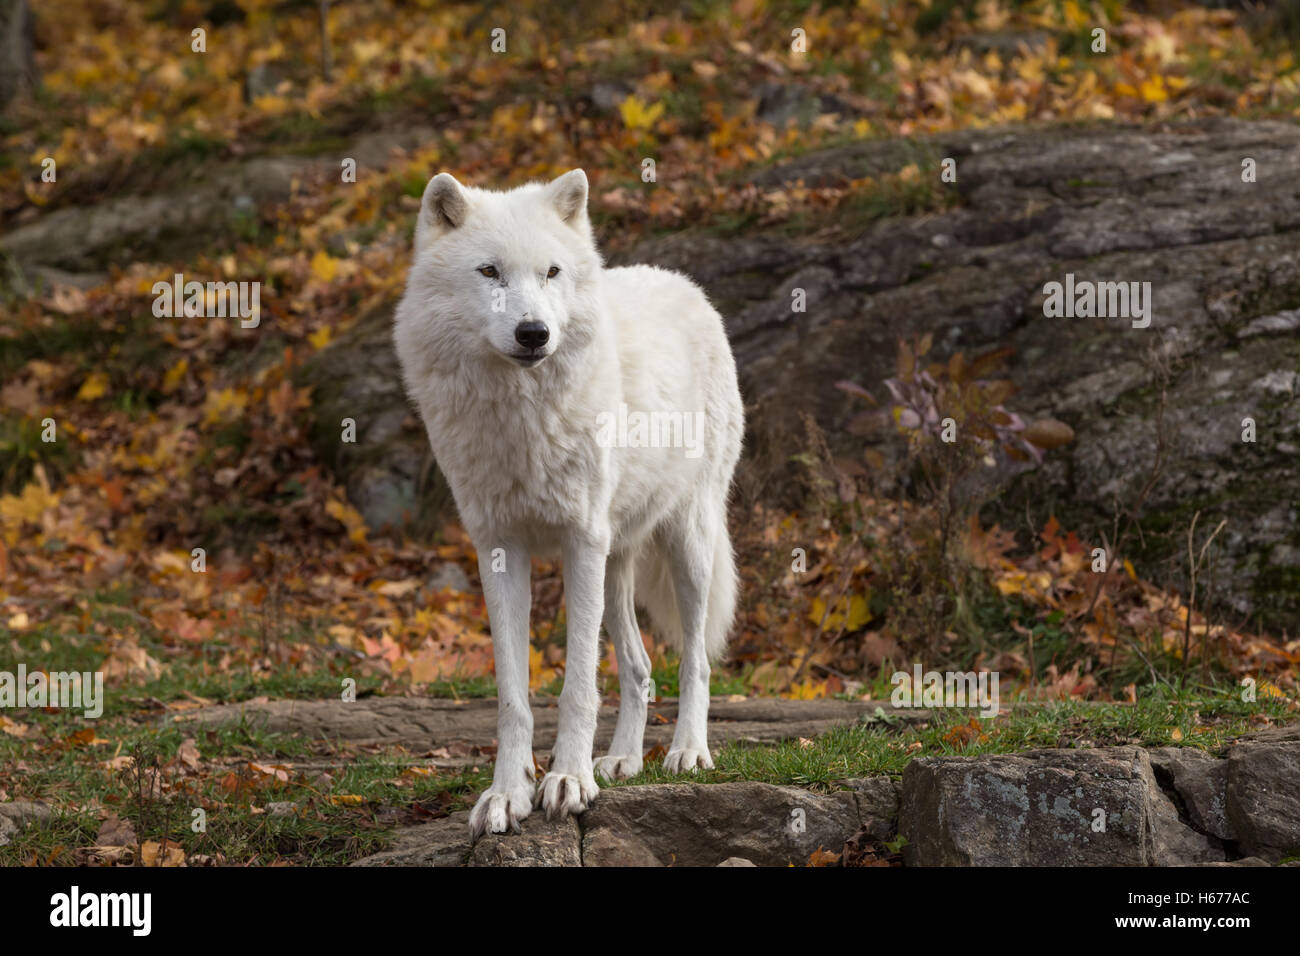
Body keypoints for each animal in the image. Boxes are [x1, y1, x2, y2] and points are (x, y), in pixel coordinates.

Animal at [393, 169, 744, 837]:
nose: (535, 333)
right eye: (489, 272)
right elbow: (514, 696)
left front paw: (568, 782)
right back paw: (624, 760)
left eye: (551, 272)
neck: (521, 415)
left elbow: (579, 683)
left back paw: (687, 751)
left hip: (687, 543)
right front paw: (508, 793)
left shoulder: (581, 541)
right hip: (616, 564)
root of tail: (681, 282)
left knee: (695, 661)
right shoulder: (500, 547)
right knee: (639, 667)